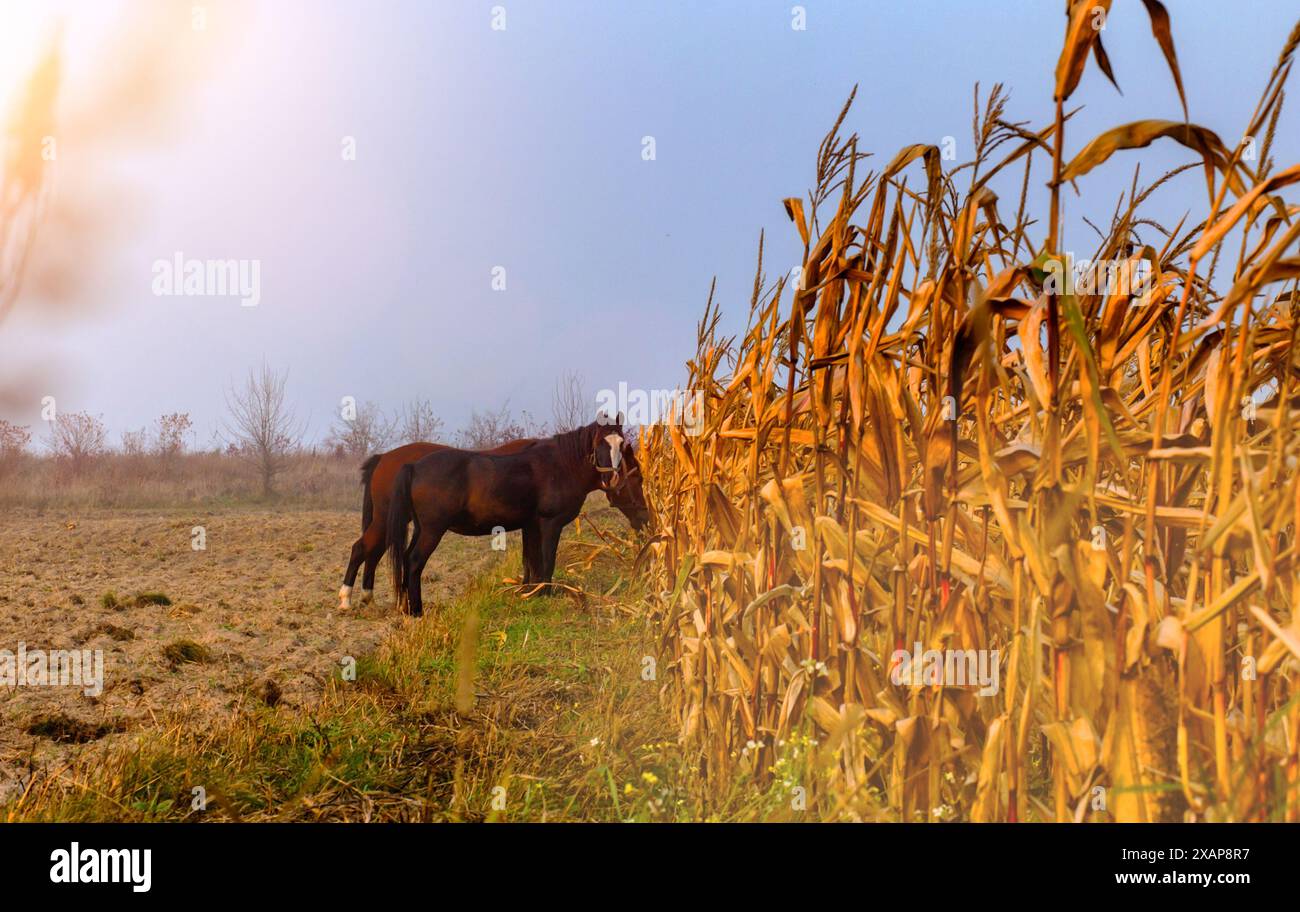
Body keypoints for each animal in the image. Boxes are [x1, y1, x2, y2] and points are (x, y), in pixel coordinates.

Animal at [338, 435, 649, 610]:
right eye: (638, 478)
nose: (645, 518)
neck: (559, 464)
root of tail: (401, 462)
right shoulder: (548, 525)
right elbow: (545, 560)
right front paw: (542, 594)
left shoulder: (530, 525)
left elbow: (530, 561)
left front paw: (526, 591)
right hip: (412, 526)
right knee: (378, 552)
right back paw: (366, 602)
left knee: (385, 554)